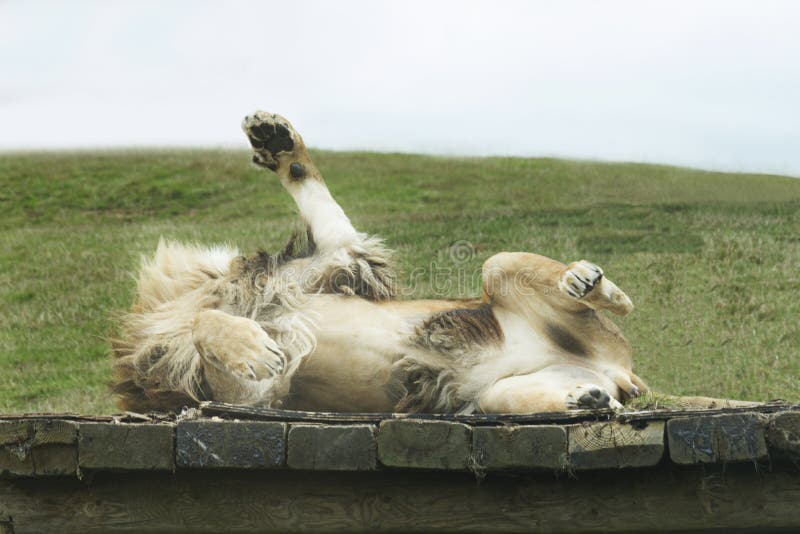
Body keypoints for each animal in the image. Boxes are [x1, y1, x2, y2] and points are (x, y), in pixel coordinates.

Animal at [111, 111, 649, 414]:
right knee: (545, 395)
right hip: (492, 396)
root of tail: (616, 369)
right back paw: (584, 398)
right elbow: (203, 324)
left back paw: (587, 281)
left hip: (500, 271)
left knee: (606, 298)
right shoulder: (249, 395)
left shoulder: (335, 259)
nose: (271, 136)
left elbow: (307, 184)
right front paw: (254, 346)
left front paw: (275, 138)